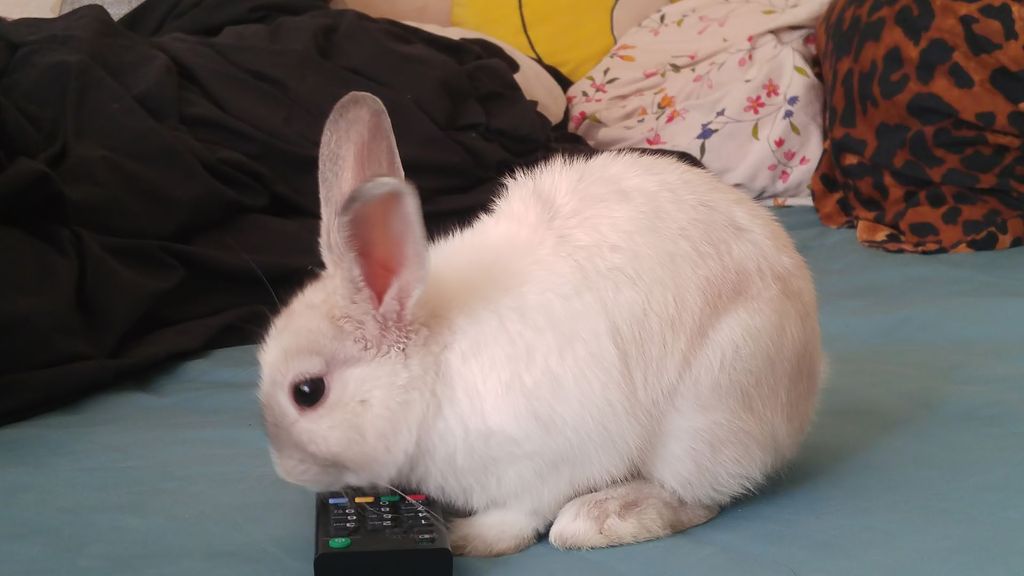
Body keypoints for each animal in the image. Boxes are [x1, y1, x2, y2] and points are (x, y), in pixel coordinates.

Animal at [257, 91, 823, 557]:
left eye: (307, 392)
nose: (284, 469)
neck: (430, 364)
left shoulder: (548, 461)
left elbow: (521, 513)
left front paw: (472, 538)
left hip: (704, 417)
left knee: (695, 499)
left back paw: (600, 518)